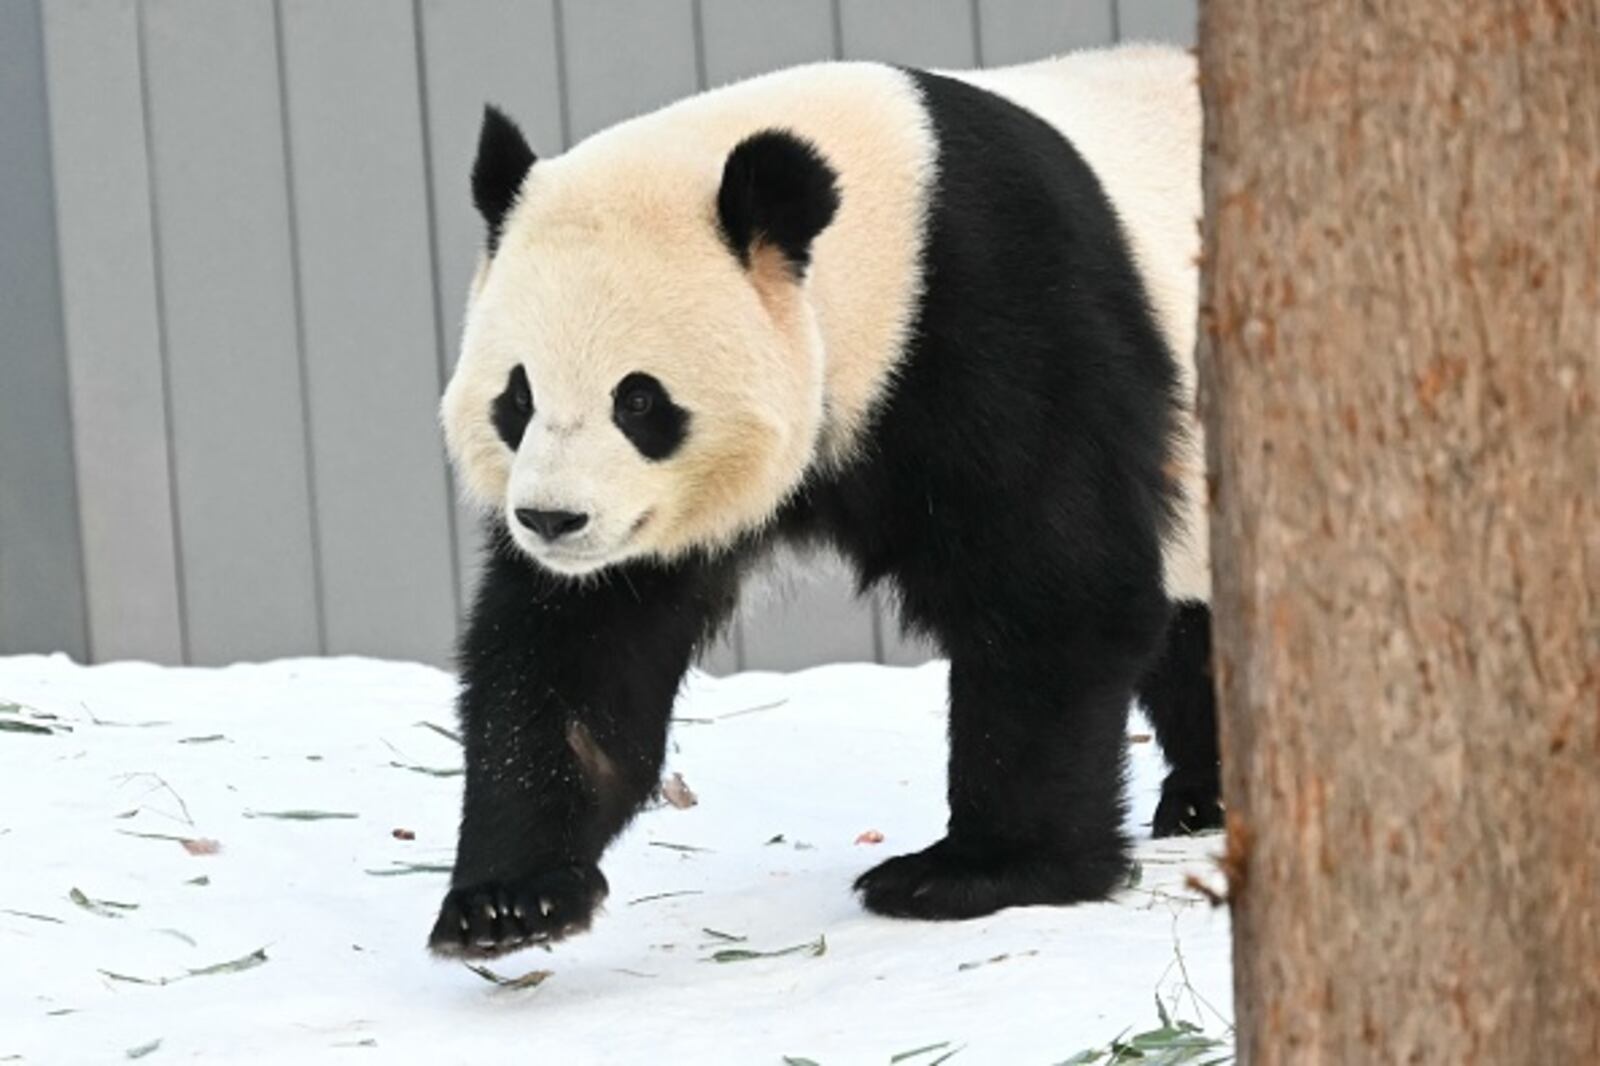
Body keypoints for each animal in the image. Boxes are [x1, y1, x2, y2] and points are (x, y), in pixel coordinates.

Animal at [428, 43, 1217, 959]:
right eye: (516, 398)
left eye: (639, 400)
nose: (553, 521)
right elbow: (578, 648)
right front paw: (508, 900)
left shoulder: (1002, 317)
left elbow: (1053, 589)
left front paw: (981, 872)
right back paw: (1203, 795)